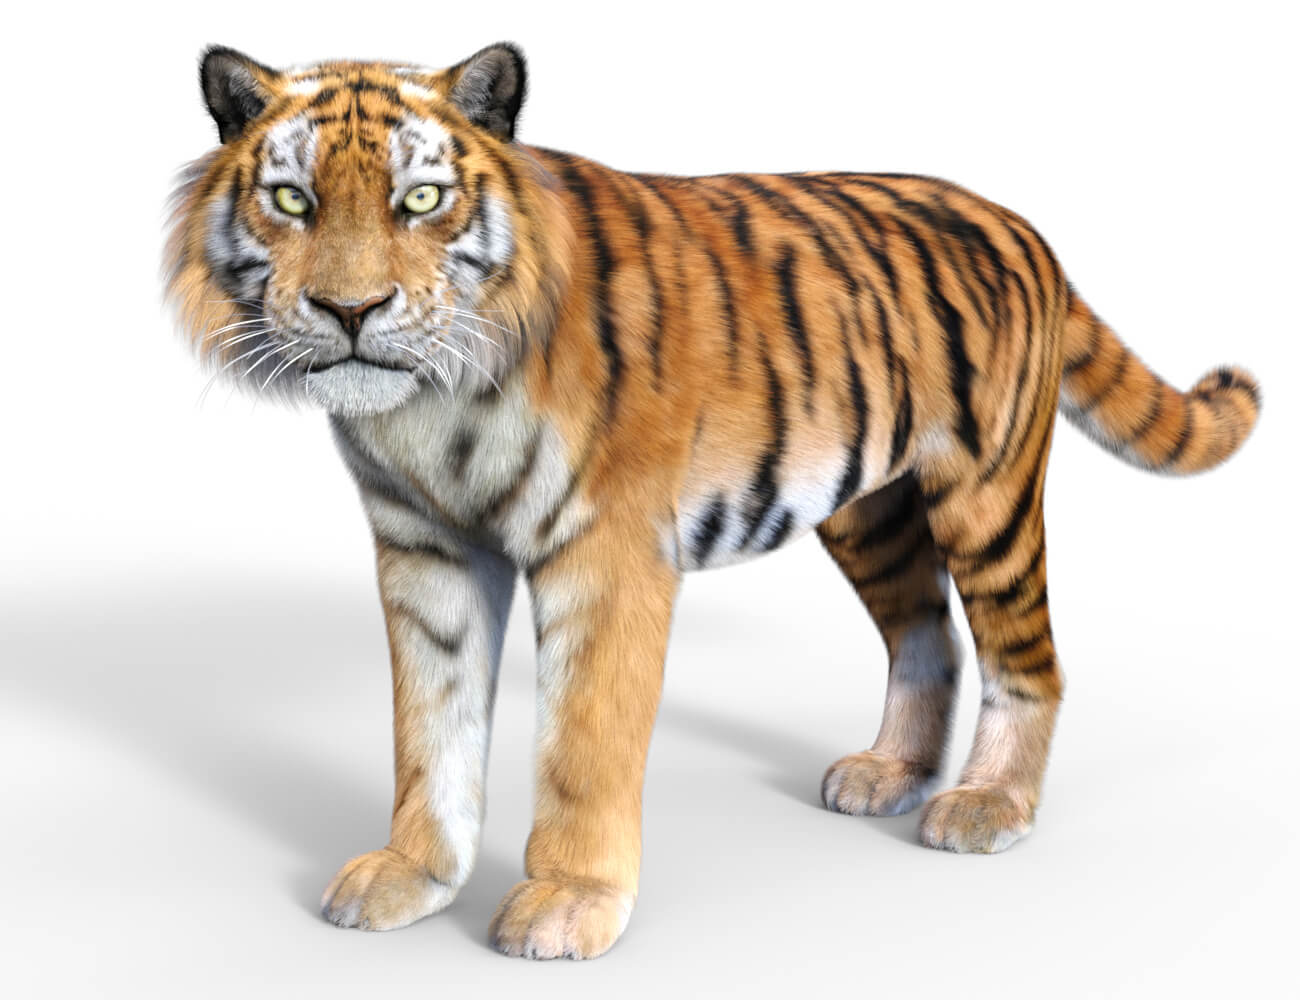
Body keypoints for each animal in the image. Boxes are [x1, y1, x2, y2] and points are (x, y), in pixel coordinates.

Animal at [164, 42, 1261, 960]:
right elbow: (429, 728)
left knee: (1025, 655)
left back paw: (987, 805)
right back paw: (888, 775)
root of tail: (1023, 226)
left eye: (421, 198)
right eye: (293, 200)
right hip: (868, 510)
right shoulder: (425, 549)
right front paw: (414, 876)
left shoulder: (606, 551)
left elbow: (584, 744)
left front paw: (569, 903)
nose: (349, 312)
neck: (431, 405)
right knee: (928, 635)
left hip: (983, 496)